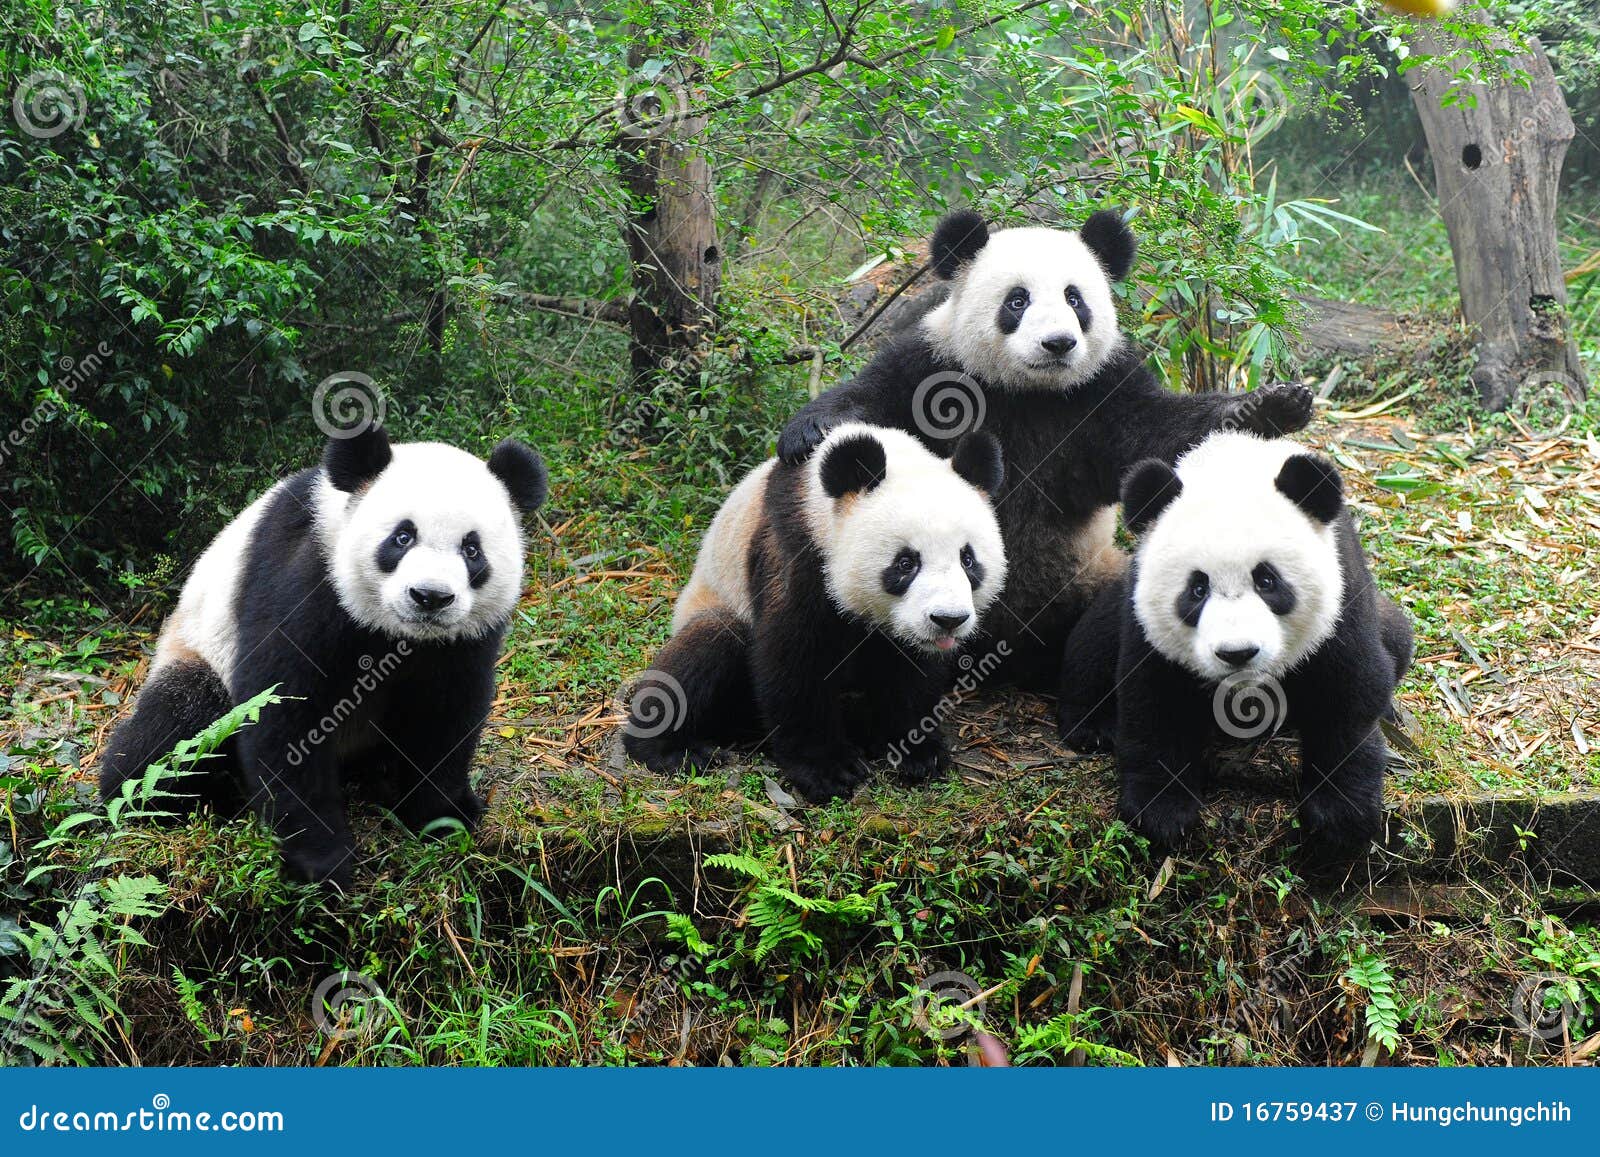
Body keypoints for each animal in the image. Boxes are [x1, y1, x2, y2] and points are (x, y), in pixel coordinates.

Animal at [97, 426, 548, 888]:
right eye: (402, 537)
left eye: (471, 550)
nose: (430, 597)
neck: (400, 634)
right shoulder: (306, 575)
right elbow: (285, 711)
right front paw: (320, 861)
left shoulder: (463, 639)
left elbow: (443, 714)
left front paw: (444, 817)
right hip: (198, 648)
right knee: (178, 726)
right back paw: (170, 797)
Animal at [622, 423, 1008, 802]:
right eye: (905, 563)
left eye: (968, 559)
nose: (948, 619)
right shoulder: (796, 549)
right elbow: (793, 660)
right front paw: (828, 771)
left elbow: (910, 670)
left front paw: (918, 750)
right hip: (715, 604)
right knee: (704, 651)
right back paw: (670, 749)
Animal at [778, 208, 1315, 687]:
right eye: (1017, 300)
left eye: (1075, 299)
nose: (1058, 343)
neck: (1029, 392)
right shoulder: (934, 367)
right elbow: (873, 399)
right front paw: (808, 433)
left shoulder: (1102, 393)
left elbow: (1162, 432)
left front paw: (1277, 405)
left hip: (1089, 576)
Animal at [1056, 431, 1414, 856]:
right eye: (1197, 589)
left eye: (1267, 580)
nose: (1237, 653)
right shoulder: (1146, 621)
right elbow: (1154, 701)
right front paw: (1162, 811)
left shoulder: (1342, 598)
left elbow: (1350, 693)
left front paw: (1339, 819)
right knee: (1094, 641)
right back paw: (1091, 726)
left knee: (1398, 639)